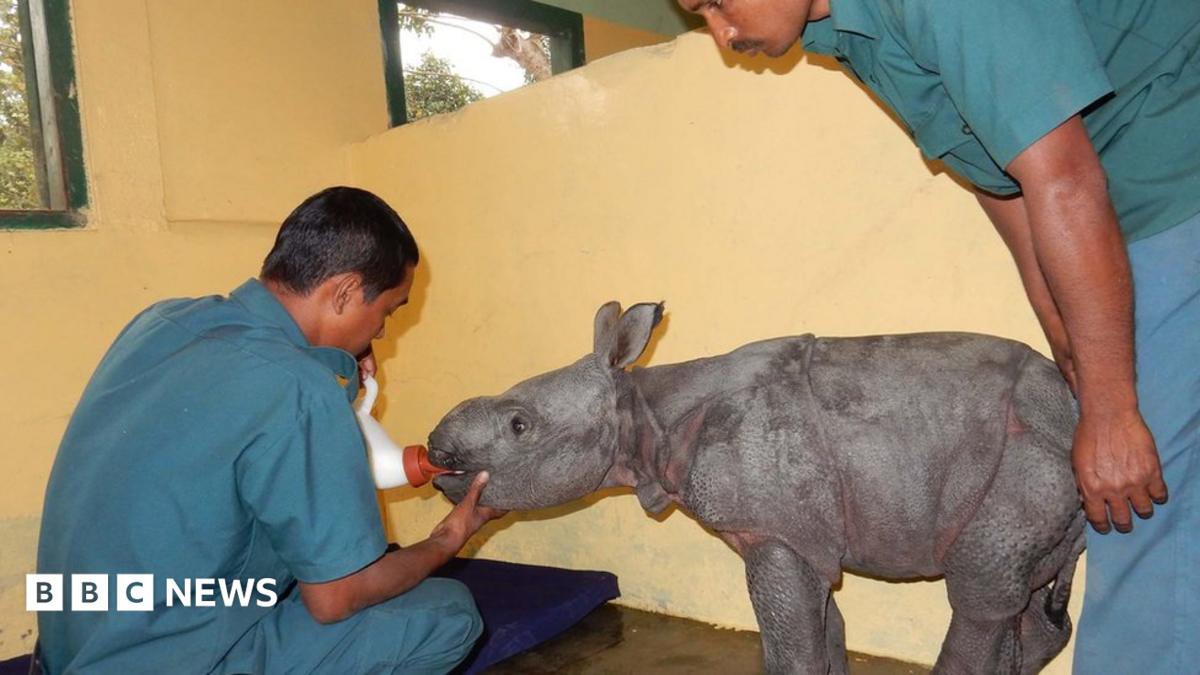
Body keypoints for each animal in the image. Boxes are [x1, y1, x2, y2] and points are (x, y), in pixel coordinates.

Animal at [430, 302, 1085, 674]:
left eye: (520, 426)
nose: (436, 451)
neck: (641, 411)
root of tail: (1076, 409)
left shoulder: (776, 530)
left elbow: (791, 646)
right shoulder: (794, 534)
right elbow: (824, 634)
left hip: (1028, 450)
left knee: (977, 594)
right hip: (1048, 462)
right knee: (1020, 602)